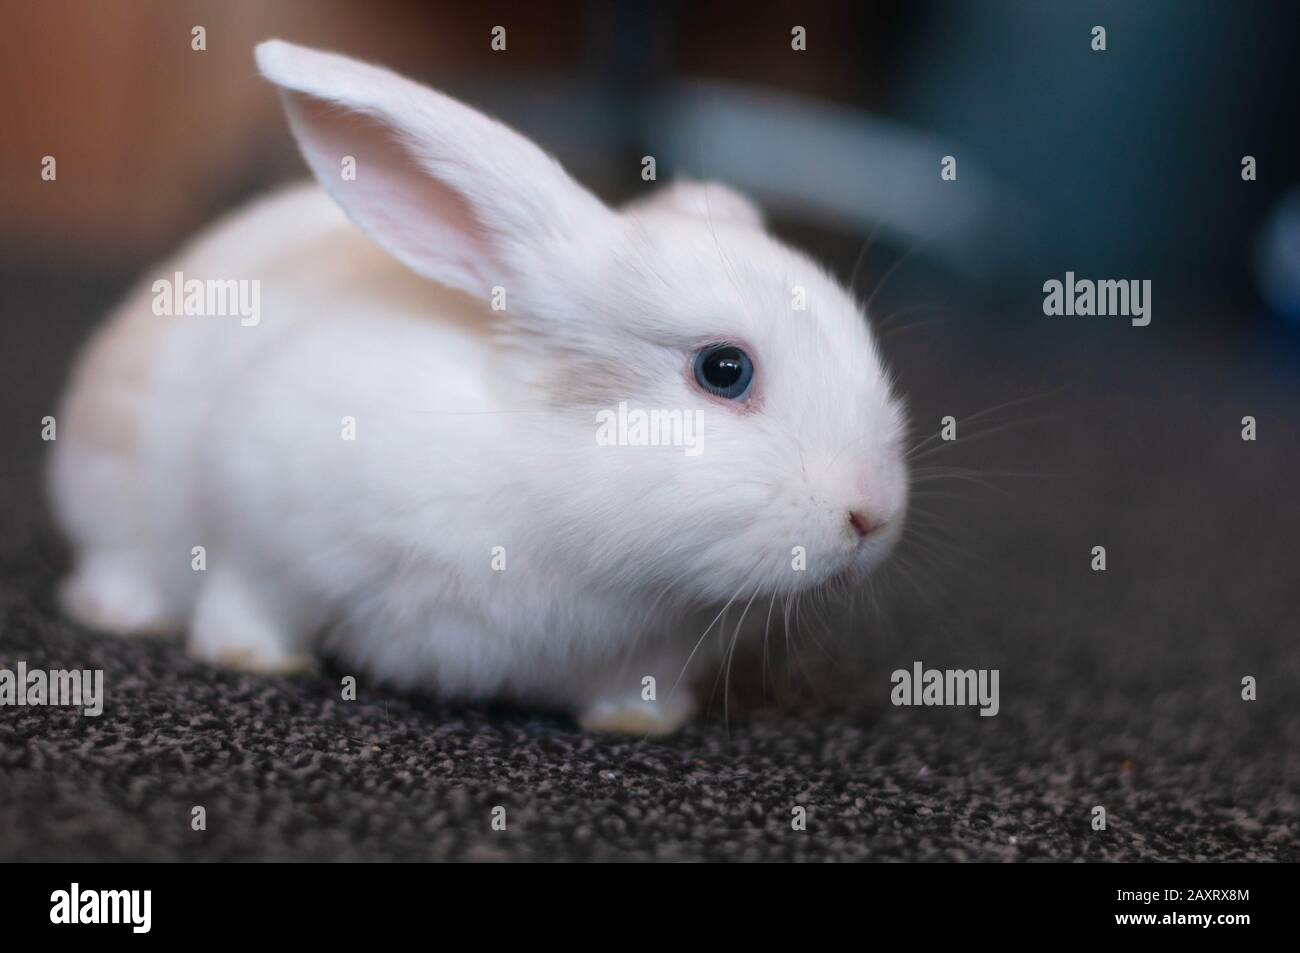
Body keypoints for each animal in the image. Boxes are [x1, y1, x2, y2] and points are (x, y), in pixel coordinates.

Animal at [47, 40, 910, 735]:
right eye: (723, 370)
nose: (872, 515)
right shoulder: (261, 523)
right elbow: (248, 600)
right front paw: (250, 658)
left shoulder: (647, 650)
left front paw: (640, 723)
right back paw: (120, 611)